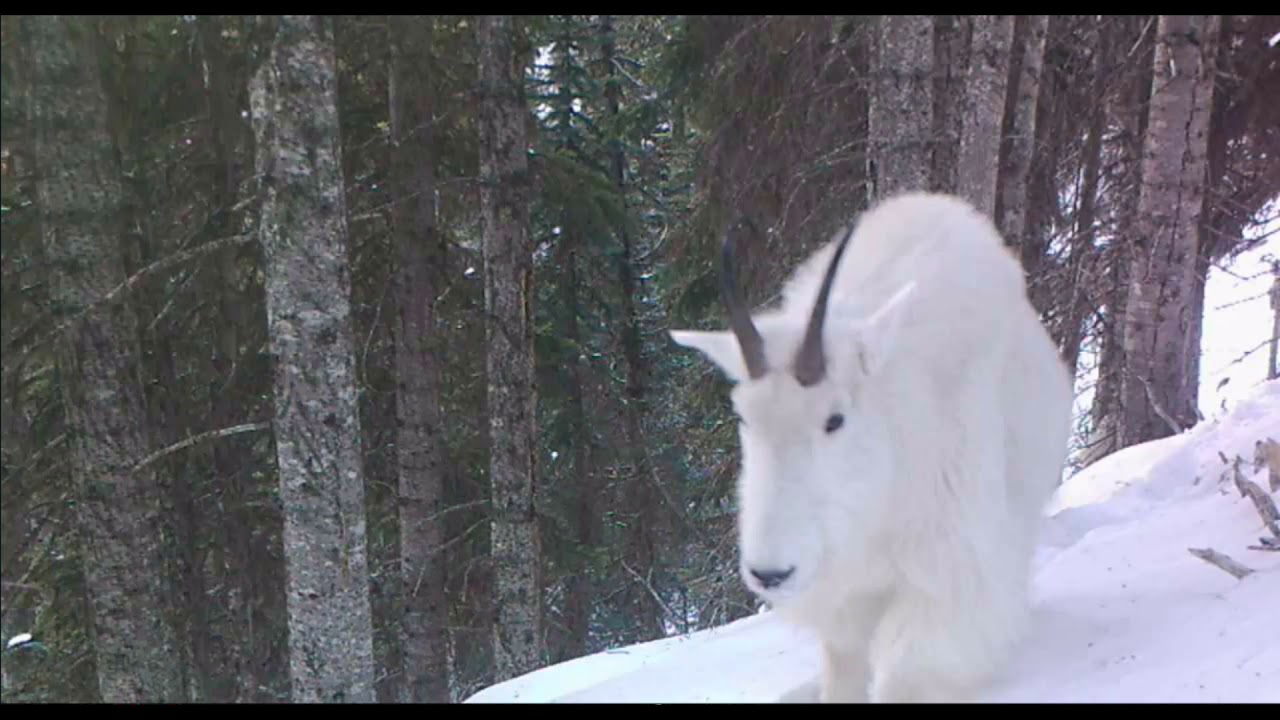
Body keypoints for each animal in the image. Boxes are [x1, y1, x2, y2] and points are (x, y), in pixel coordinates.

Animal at [669, 192, 1073, 703]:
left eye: (834, 419)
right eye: (744, 415)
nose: (770, 573)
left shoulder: (942, 579)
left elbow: (909, 672)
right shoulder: (844, 596)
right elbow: (842, 667)